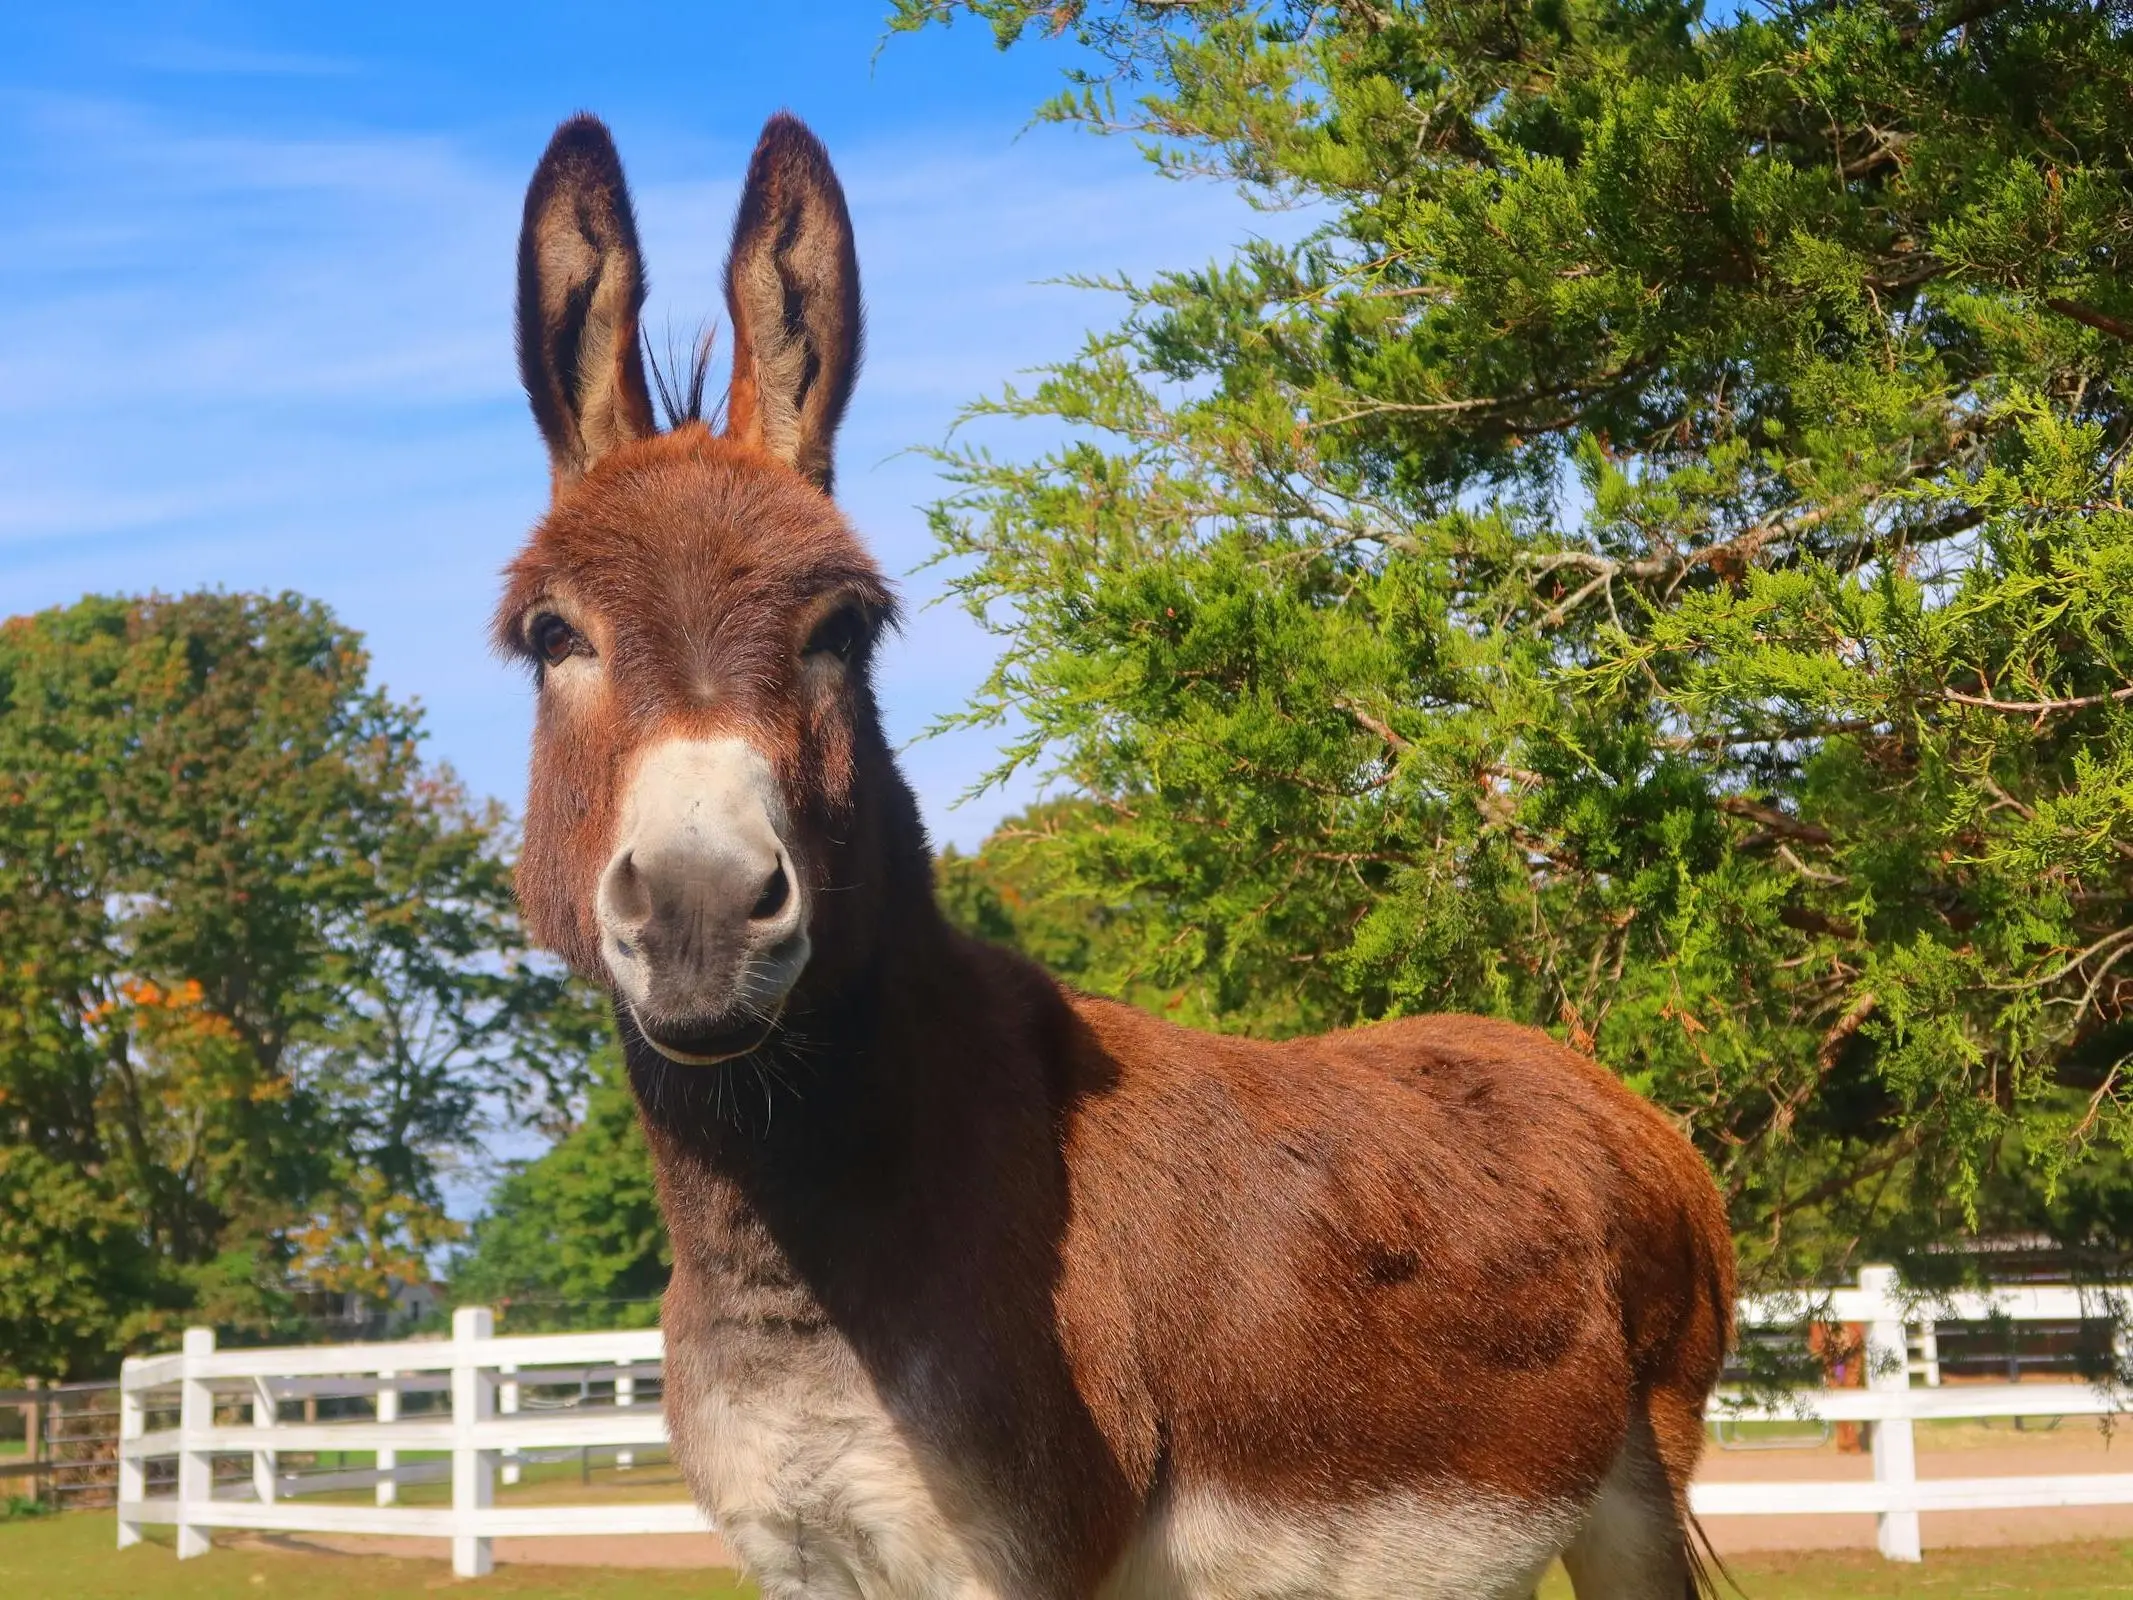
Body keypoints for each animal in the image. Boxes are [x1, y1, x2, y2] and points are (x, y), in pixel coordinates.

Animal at [494, 110, 1735, 1600]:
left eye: (842, 630)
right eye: (553, 637)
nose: (699, 915)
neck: (800, 1248)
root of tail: (1606, 1094)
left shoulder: (1015, 1556)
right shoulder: (795, 1550)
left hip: (1638, 1489)